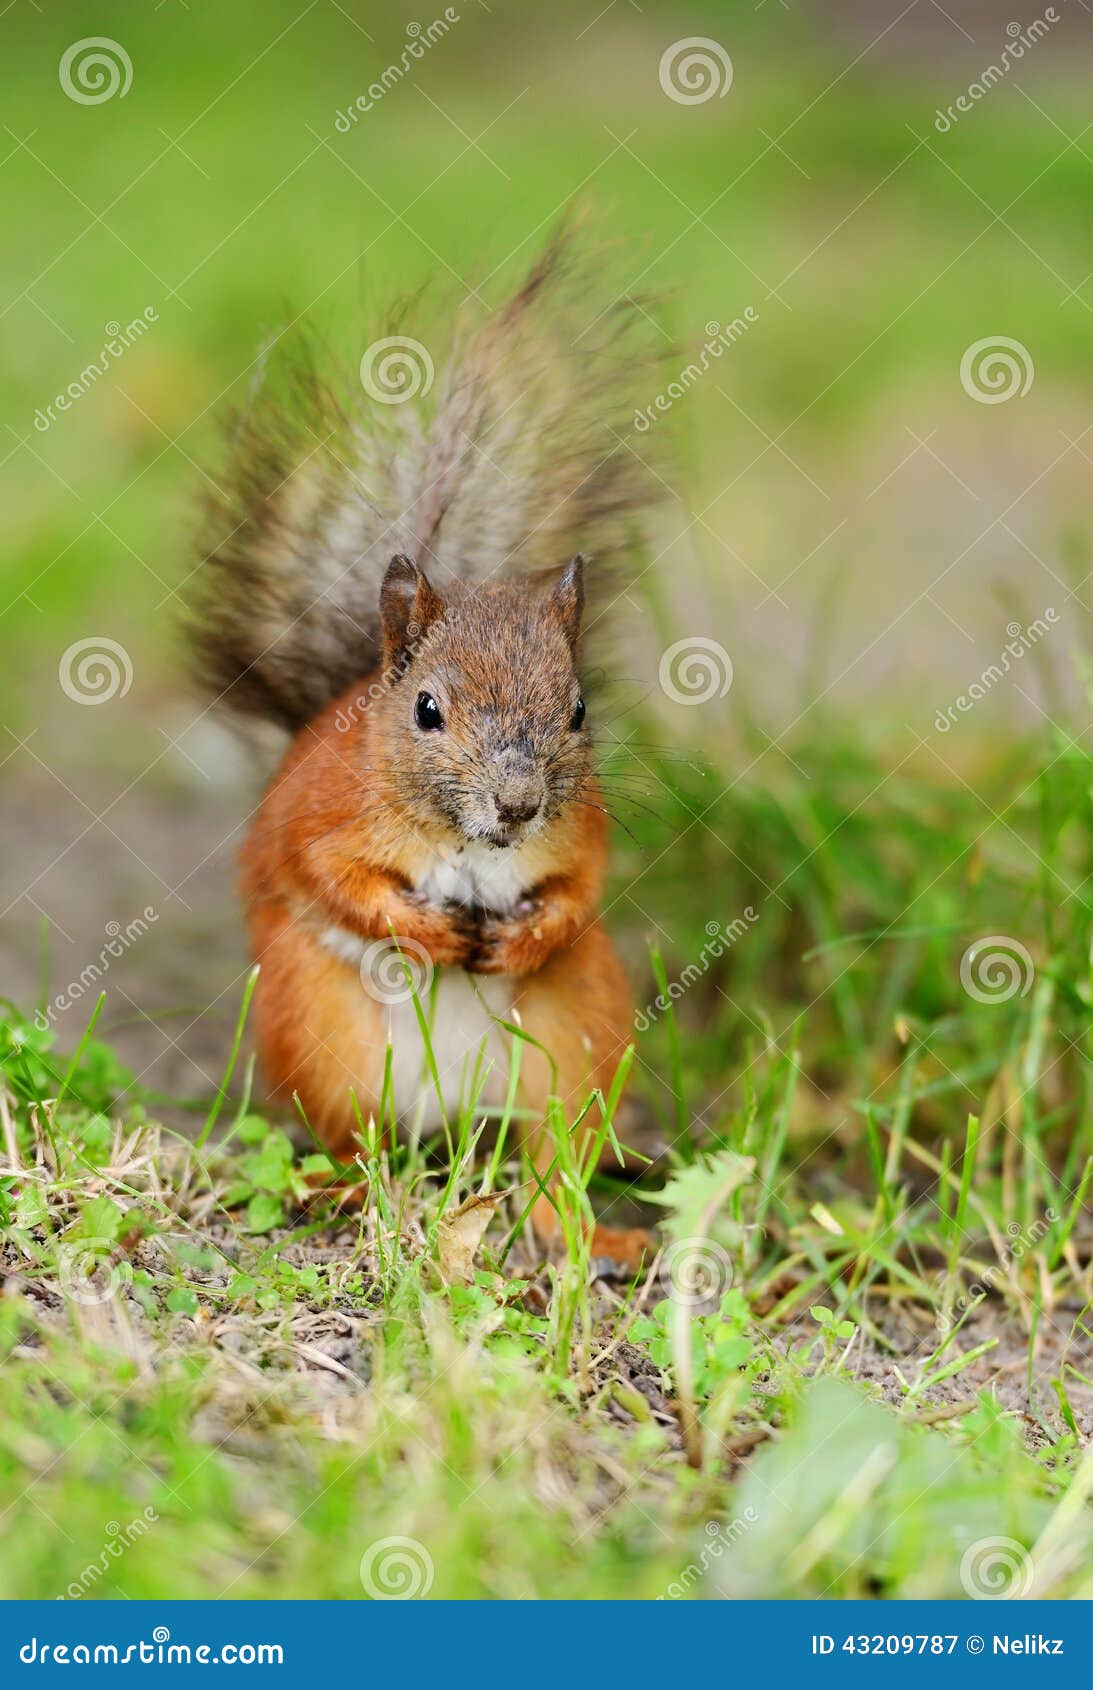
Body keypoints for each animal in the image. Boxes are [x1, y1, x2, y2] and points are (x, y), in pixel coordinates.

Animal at [188, 229, 665, 1264]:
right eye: (427, 710)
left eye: (578, 711)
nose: (520, 804)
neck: (466, 842)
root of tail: (455, 1113)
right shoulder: (319, 812)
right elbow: (326, 875)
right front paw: (426, 928)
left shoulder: (582, 833)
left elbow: (583, 890)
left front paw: (526, 931)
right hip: (320, 1031)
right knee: (357, 1141)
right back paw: (343, 1192)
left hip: (578, 1030)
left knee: (553, 1158)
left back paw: (589, 1236)